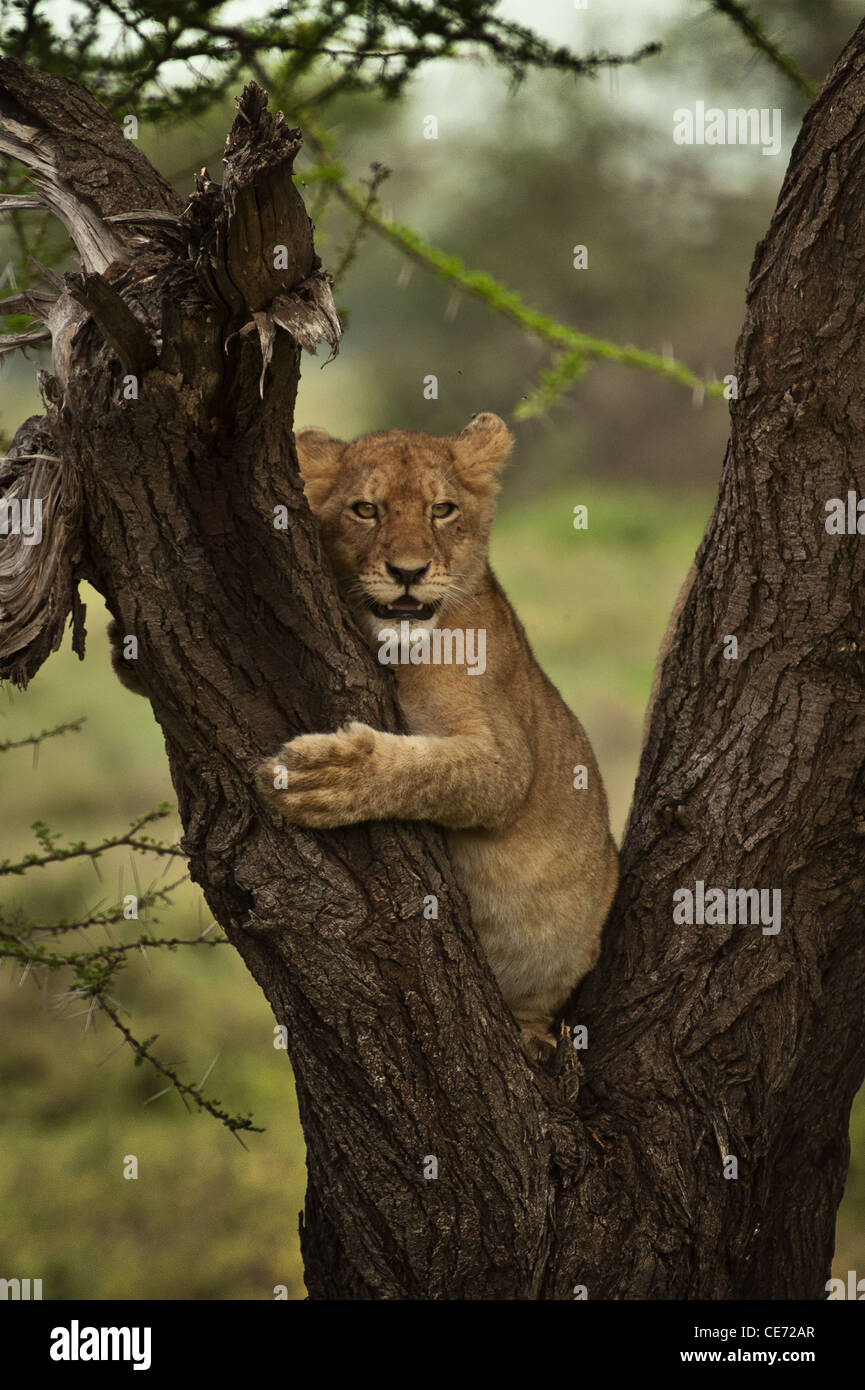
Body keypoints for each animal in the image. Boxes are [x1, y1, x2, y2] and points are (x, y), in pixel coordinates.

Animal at [258, 412, 619, 1057]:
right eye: (366, 510)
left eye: (442, 510)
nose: (408, 574)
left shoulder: (506, 760)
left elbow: (427, 770)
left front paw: (321, 777)